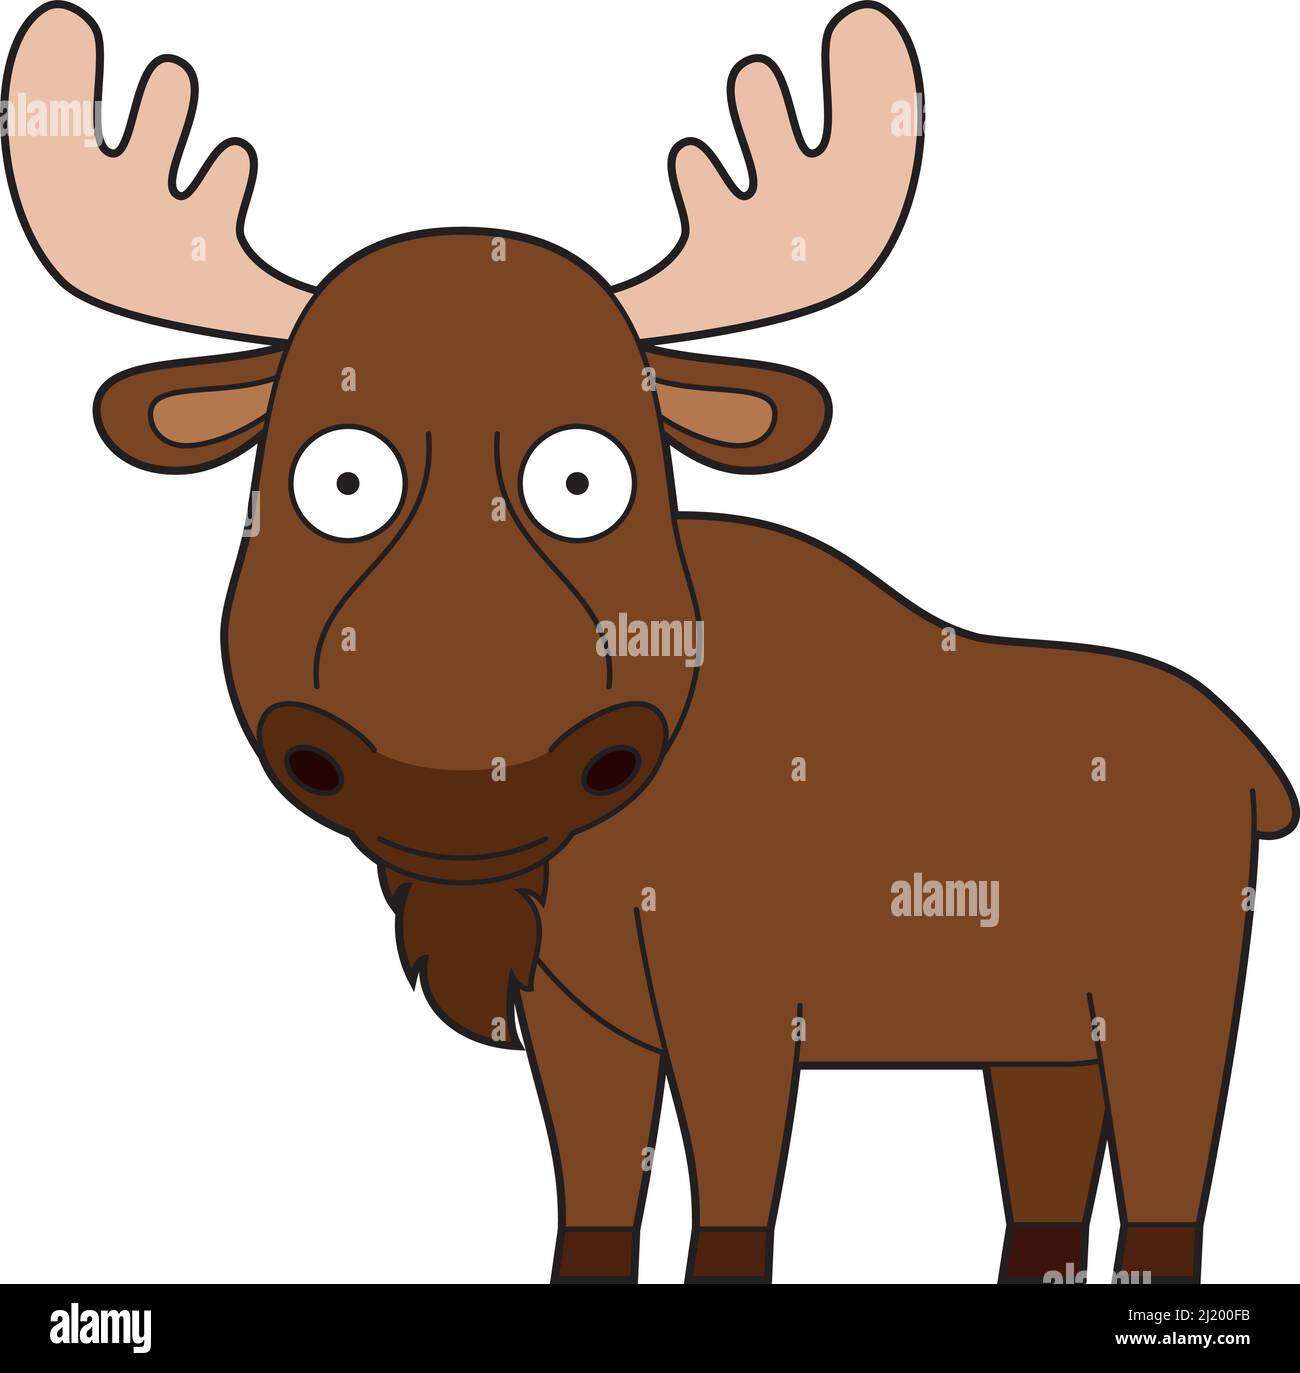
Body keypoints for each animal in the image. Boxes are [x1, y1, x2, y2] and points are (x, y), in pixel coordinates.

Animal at [4, 1, 1294, 1285]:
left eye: (586, 475)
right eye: (337, 475)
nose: (457, 780)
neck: (572, 874)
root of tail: (1258, 770)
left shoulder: (739, 1000)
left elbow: (732, 1200)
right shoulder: (581, 1019)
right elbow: (592, 1194)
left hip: (1167, 1003)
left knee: (1171, 1182)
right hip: (1039, 1034)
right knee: (1045, 1180)